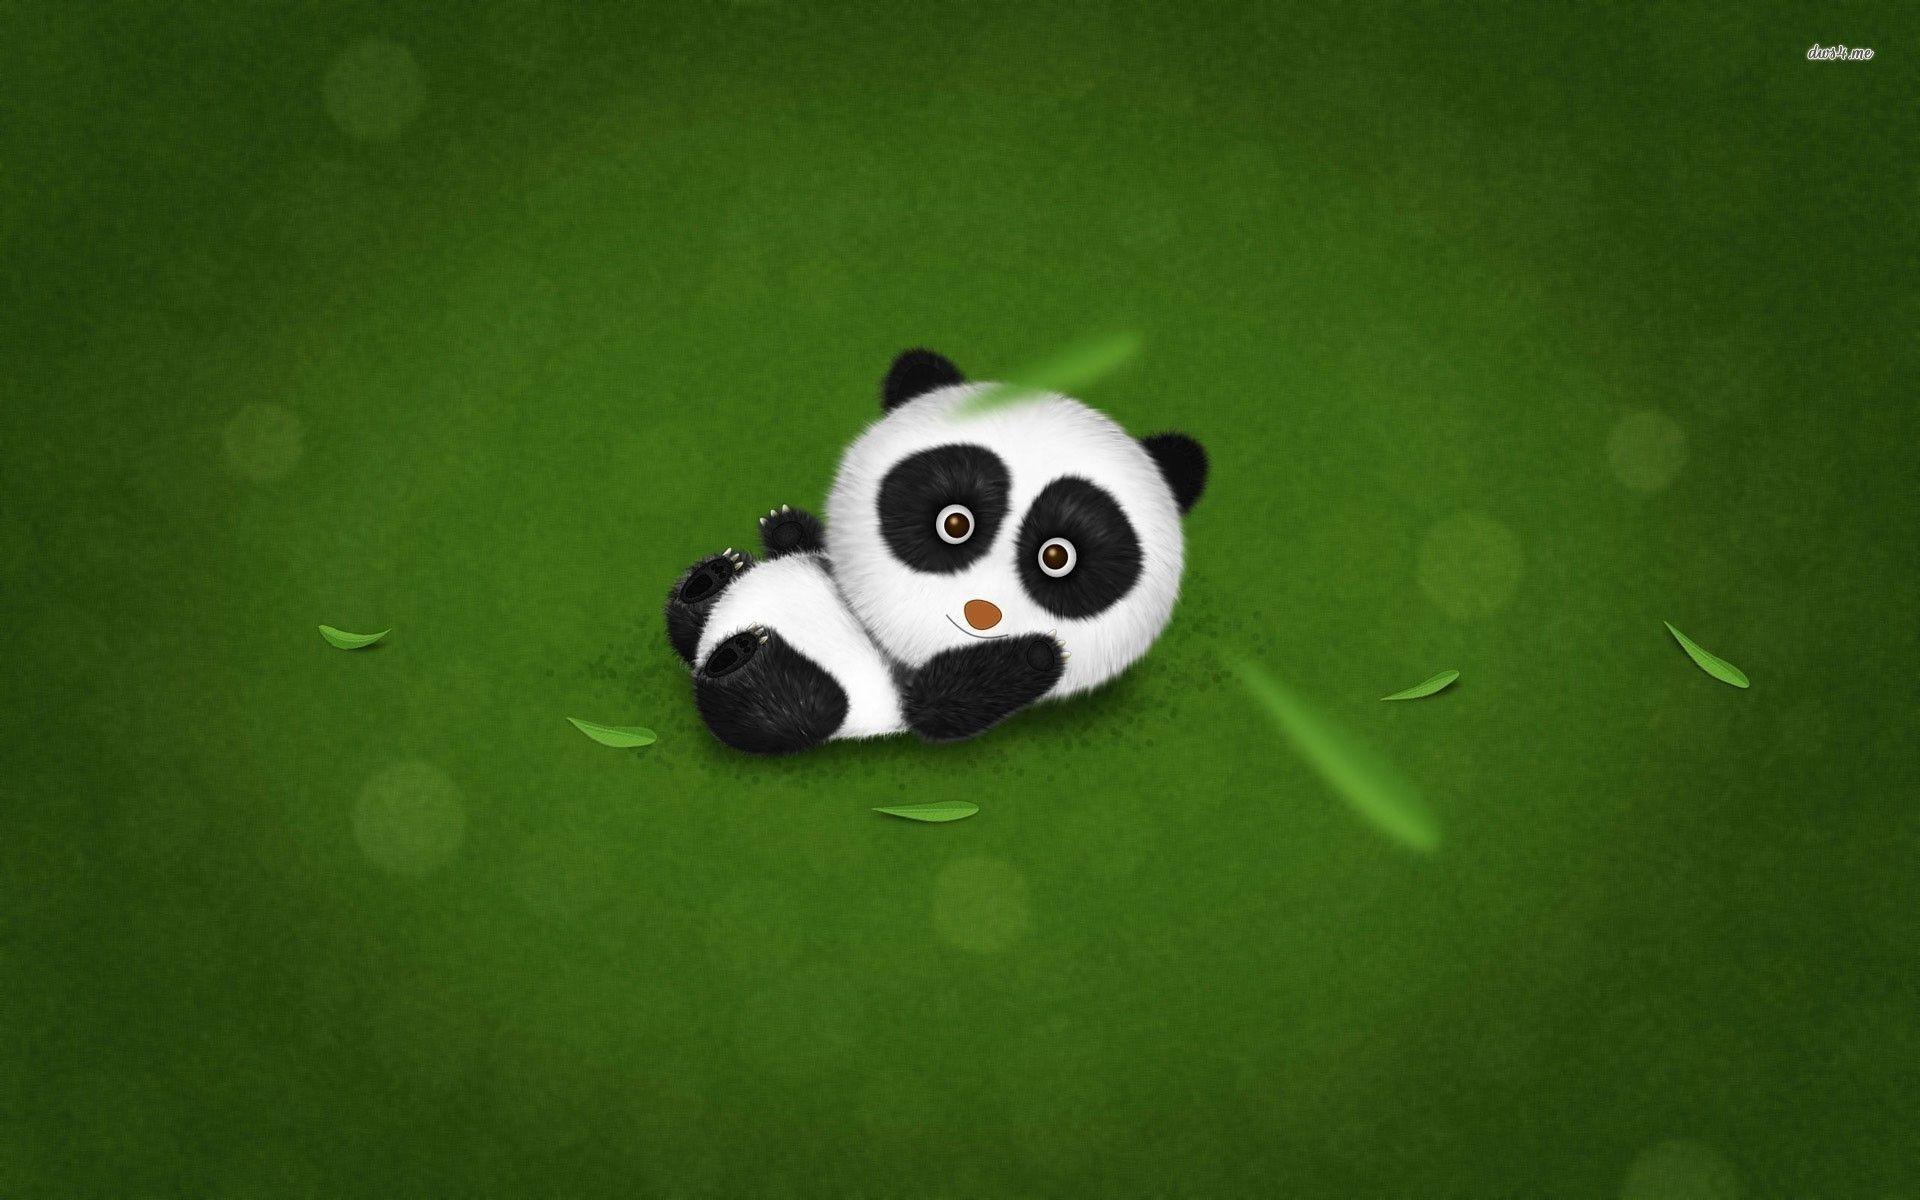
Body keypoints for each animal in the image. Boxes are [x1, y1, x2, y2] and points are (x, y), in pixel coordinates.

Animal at [663, 349, 1208, 755]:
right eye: (955, 523)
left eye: (1058, 557)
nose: (982, 613)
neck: (877, 634)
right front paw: (785, 526)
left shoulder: (912, 695)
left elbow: (941, 709)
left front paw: (1036, 653)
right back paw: (716, 578)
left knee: (781, 705)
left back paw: (743, 651)